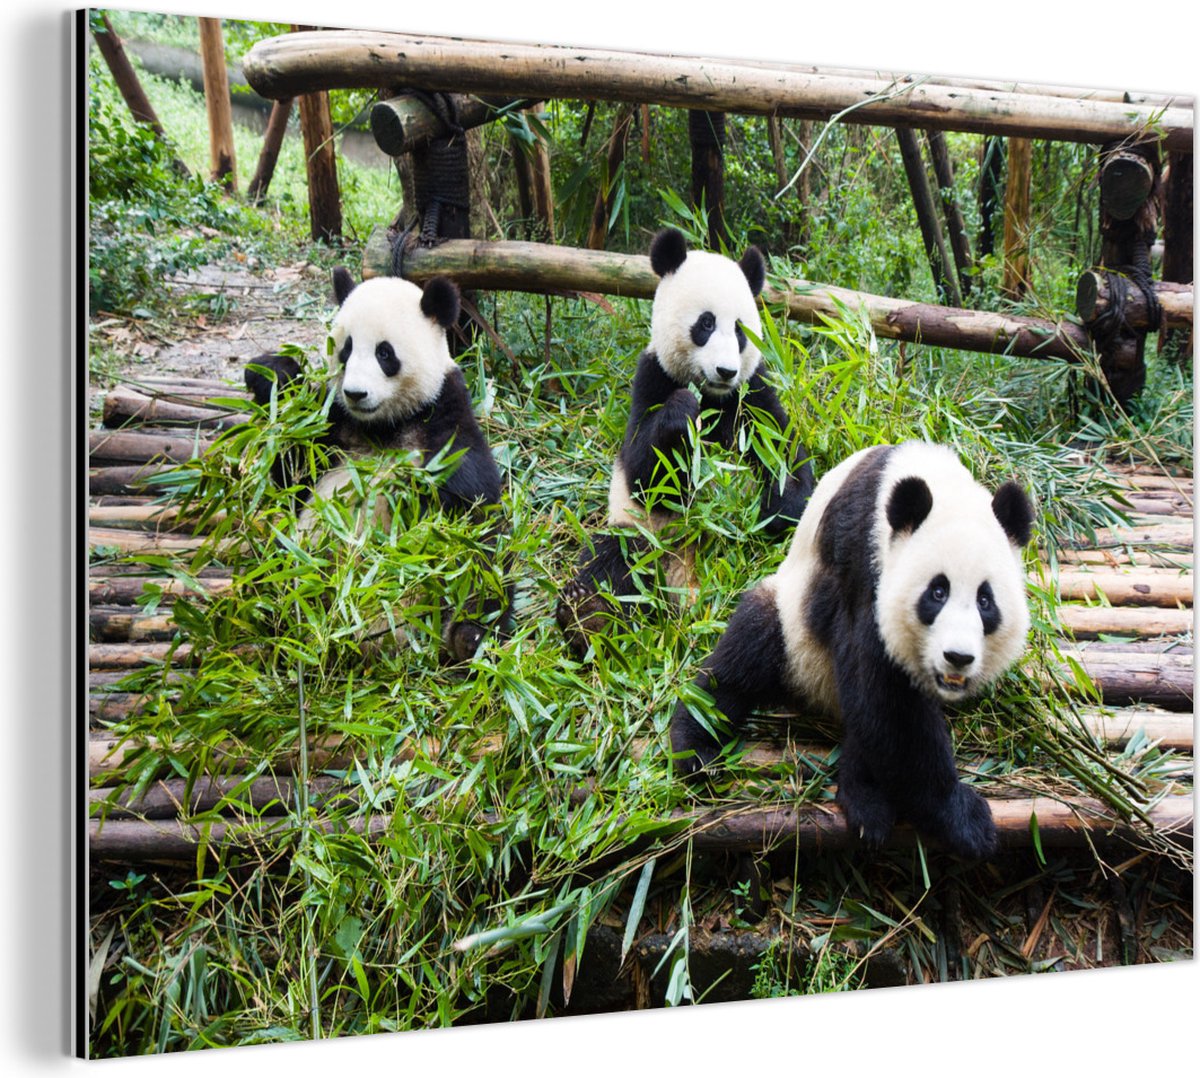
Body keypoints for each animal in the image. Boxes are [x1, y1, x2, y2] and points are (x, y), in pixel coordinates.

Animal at [245, 268, 509, 661]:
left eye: (385, 353)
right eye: (346, 349)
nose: (356, 393)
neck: (383, 425)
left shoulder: (444, 416)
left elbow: (471, 508)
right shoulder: (333, 426)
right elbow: (292, 471)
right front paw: (271, 374)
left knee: (484, 587)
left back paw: (467, 638)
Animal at [556, 227, 814, 654]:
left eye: (740, 330)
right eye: (705, 324)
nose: (725, 371)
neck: (713, 395)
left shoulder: (753, 393)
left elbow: (783, 456)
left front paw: (777, 506)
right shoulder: (651, 376)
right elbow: (644, 471)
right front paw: (683, 413)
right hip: (643, 537)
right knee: (613, 559)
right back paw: (588, 616)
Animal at [669, 441, 1035, 860]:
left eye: (985, 601)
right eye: (937, 592)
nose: (957, 657)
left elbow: (878, 710)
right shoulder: (864, 565)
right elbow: (886, 698)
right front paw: (965, 819)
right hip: (794, 630)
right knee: (744, 658)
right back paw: (697, 748)